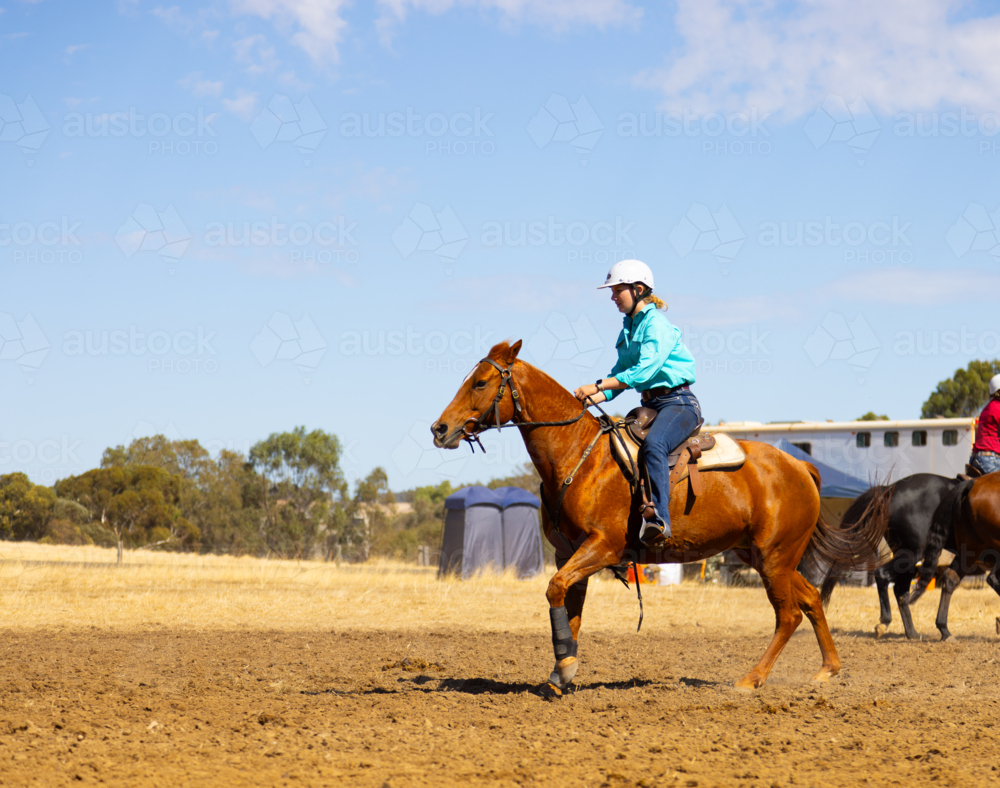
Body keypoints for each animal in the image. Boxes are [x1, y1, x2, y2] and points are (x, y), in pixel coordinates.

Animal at [431, 340, 889, 693]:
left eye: (481, 382)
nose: (440, 429)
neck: (580, 456)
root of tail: (800, 467)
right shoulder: (569, 553)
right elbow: (568, 606)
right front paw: (561, 672)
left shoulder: (602, 547)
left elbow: (556, 590)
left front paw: (565, 668)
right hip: (763, 555)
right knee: (811, 599)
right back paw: (828, 669)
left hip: (775, 557)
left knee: (789, 613)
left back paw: (751, 679)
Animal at [799, 473, 959, 640]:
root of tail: (888, 490)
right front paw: (944, 630)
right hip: (912, 553)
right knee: (885, 577)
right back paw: (887, 622)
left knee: (900, 590)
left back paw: (911, 632)